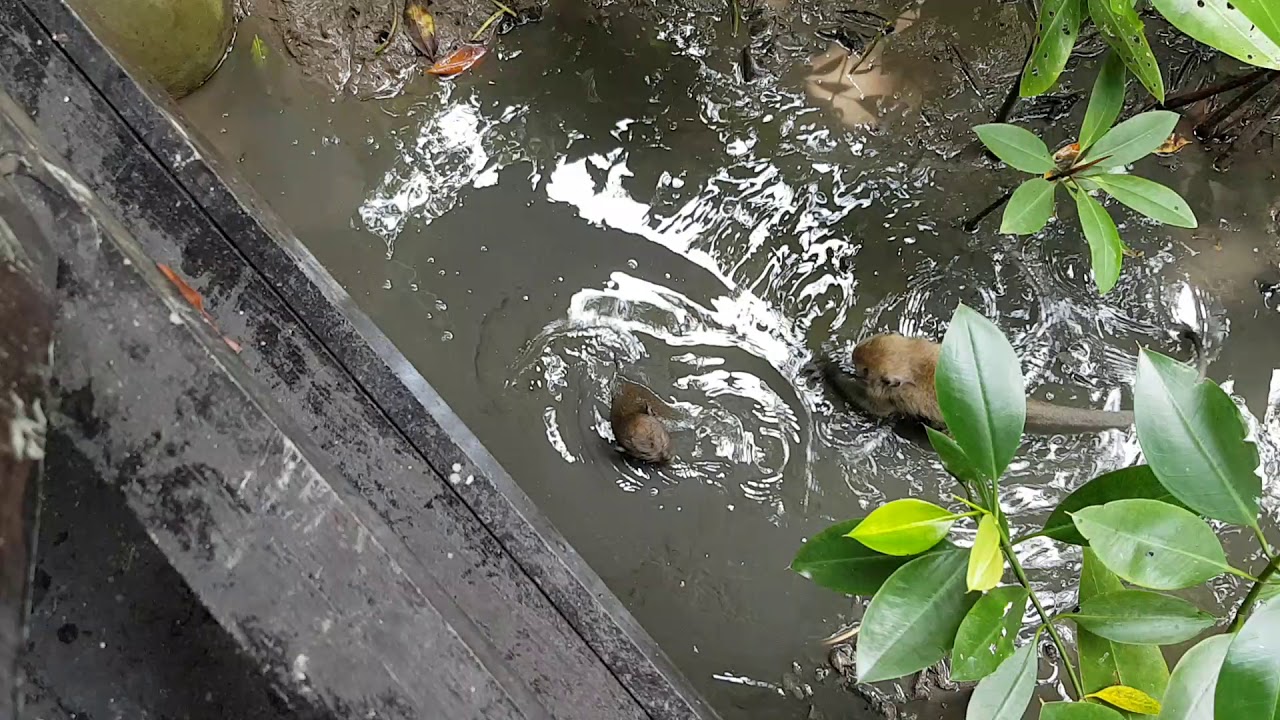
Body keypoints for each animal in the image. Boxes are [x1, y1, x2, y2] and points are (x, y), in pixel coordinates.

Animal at [818, 326, 1206, 434]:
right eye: (864, 344)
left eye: (866, 370)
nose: (854, 358)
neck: (912, 361)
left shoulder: (893, 396)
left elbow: (874, 406)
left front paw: (829, 370)